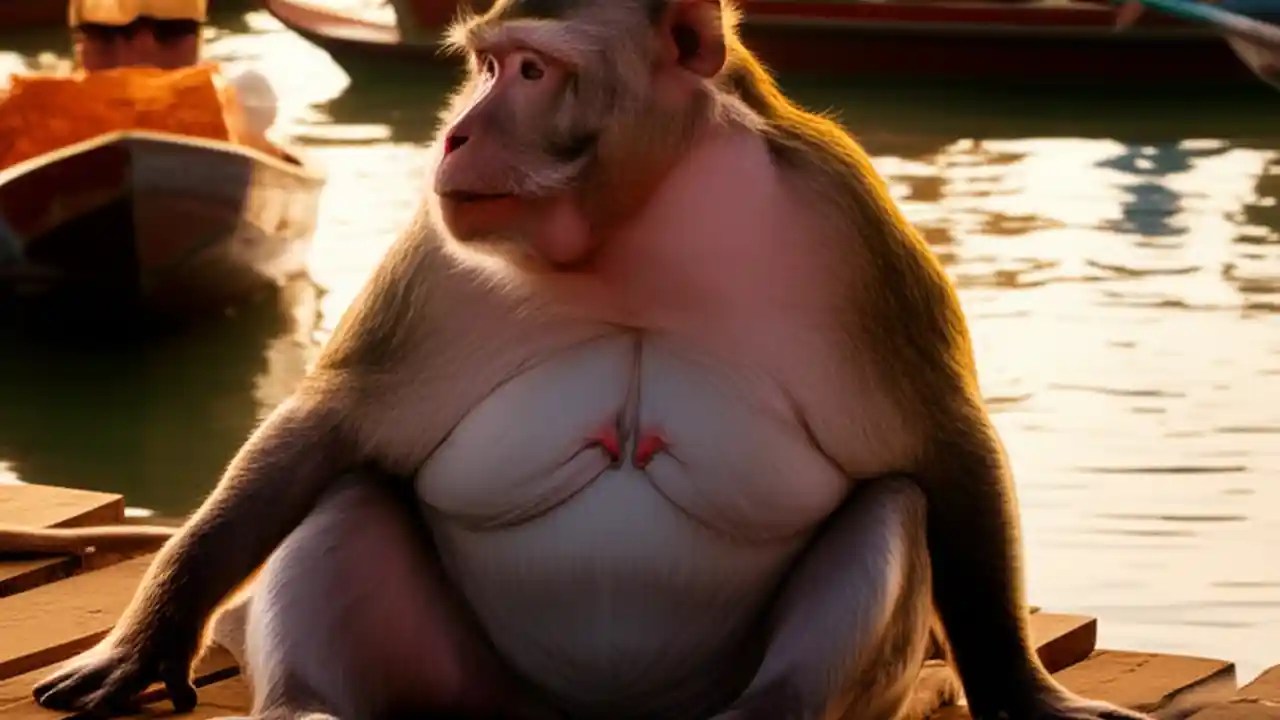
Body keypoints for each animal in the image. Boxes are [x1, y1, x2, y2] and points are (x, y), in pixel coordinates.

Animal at [27, 1, 1154, 718]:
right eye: (486, 65)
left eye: (533, 70)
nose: (456, 135)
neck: (636, 220)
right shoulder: (442, 249)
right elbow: (331, 425)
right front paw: (150, 639)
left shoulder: (851, 227)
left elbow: (939, 443)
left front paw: (1024, 692)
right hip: (476, 686)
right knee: (349, 493)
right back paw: (306, 706)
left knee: (887, 505)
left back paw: (774, 705)